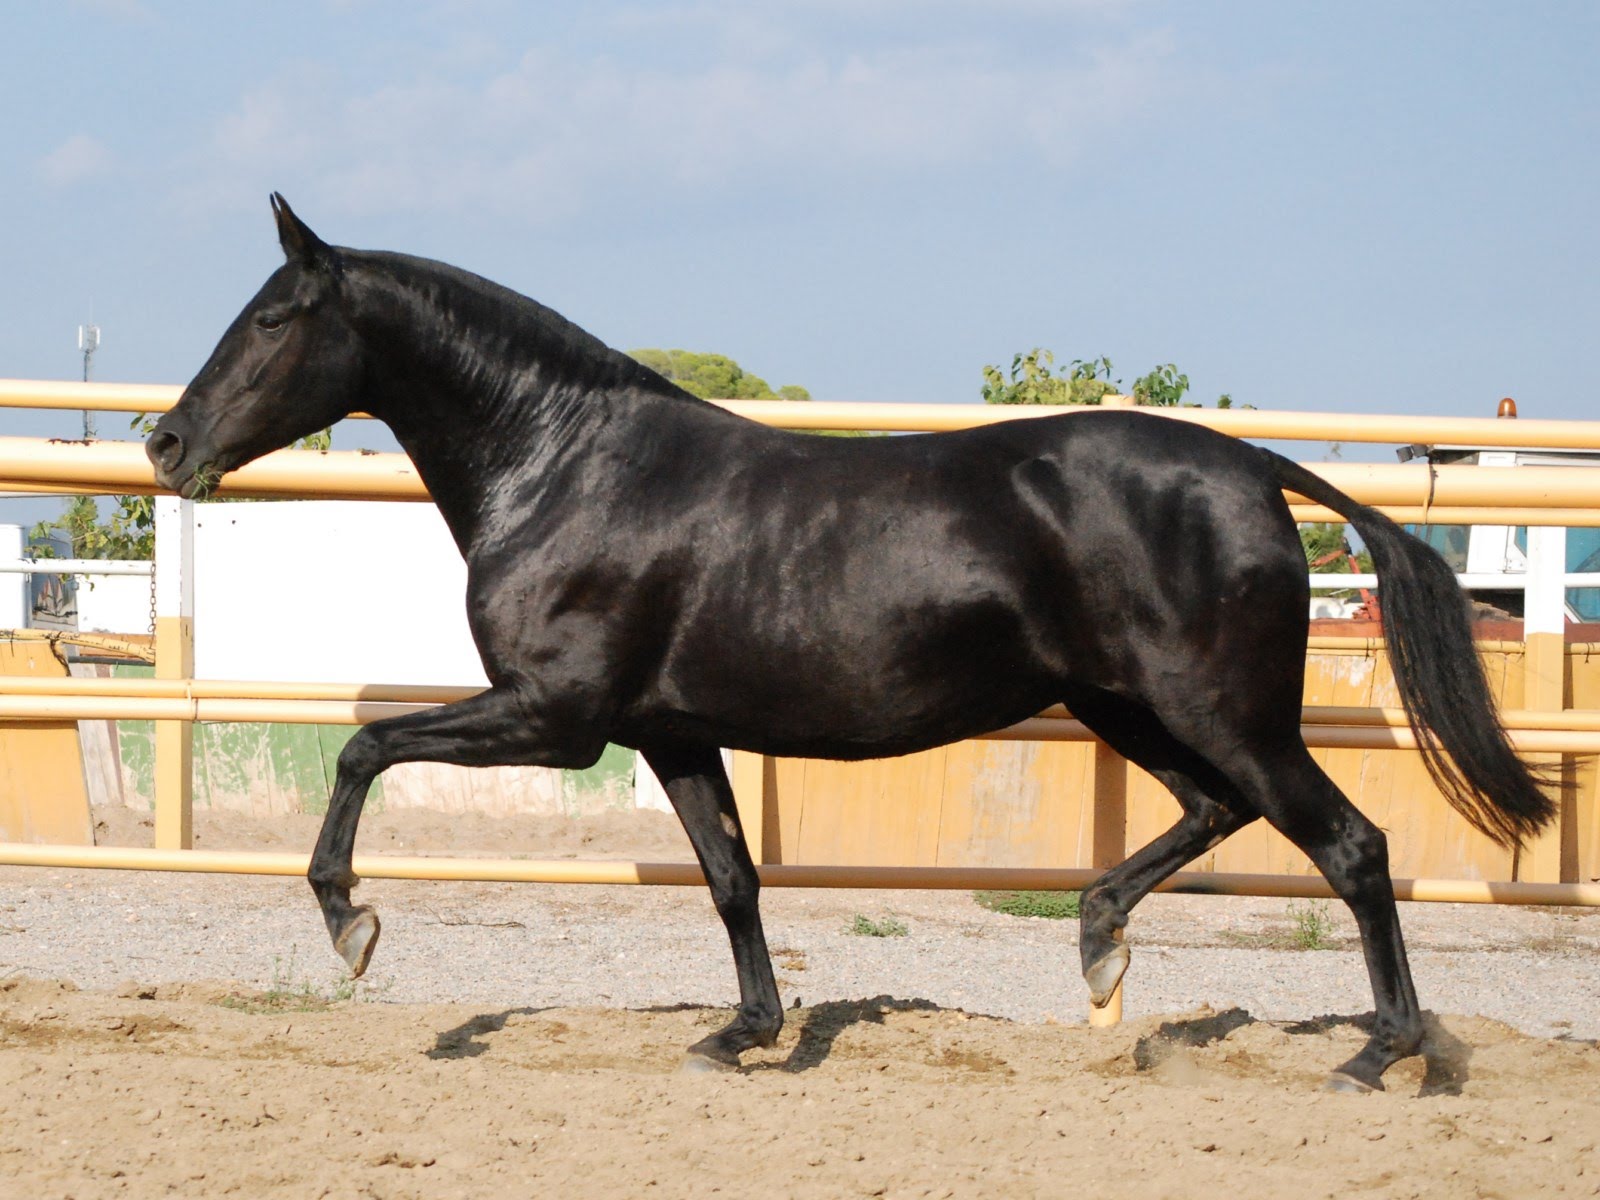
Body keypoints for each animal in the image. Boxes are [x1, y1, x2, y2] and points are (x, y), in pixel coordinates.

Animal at [147, 195, 1554, 1091]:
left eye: (271, 319)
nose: (166, 442)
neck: (567, 468)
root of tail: (1257, 470)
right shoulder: (668, 733)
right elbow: (732, 879)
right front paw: (743, 1034)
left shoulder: (556, 718)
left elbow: (363, 747)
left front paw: (352, 927)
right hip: (1134, 709)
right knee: (1216, 815)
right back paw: (1100, 946)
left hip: (1220, 713)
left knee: (1350, 847)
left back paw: (1380, 1052)